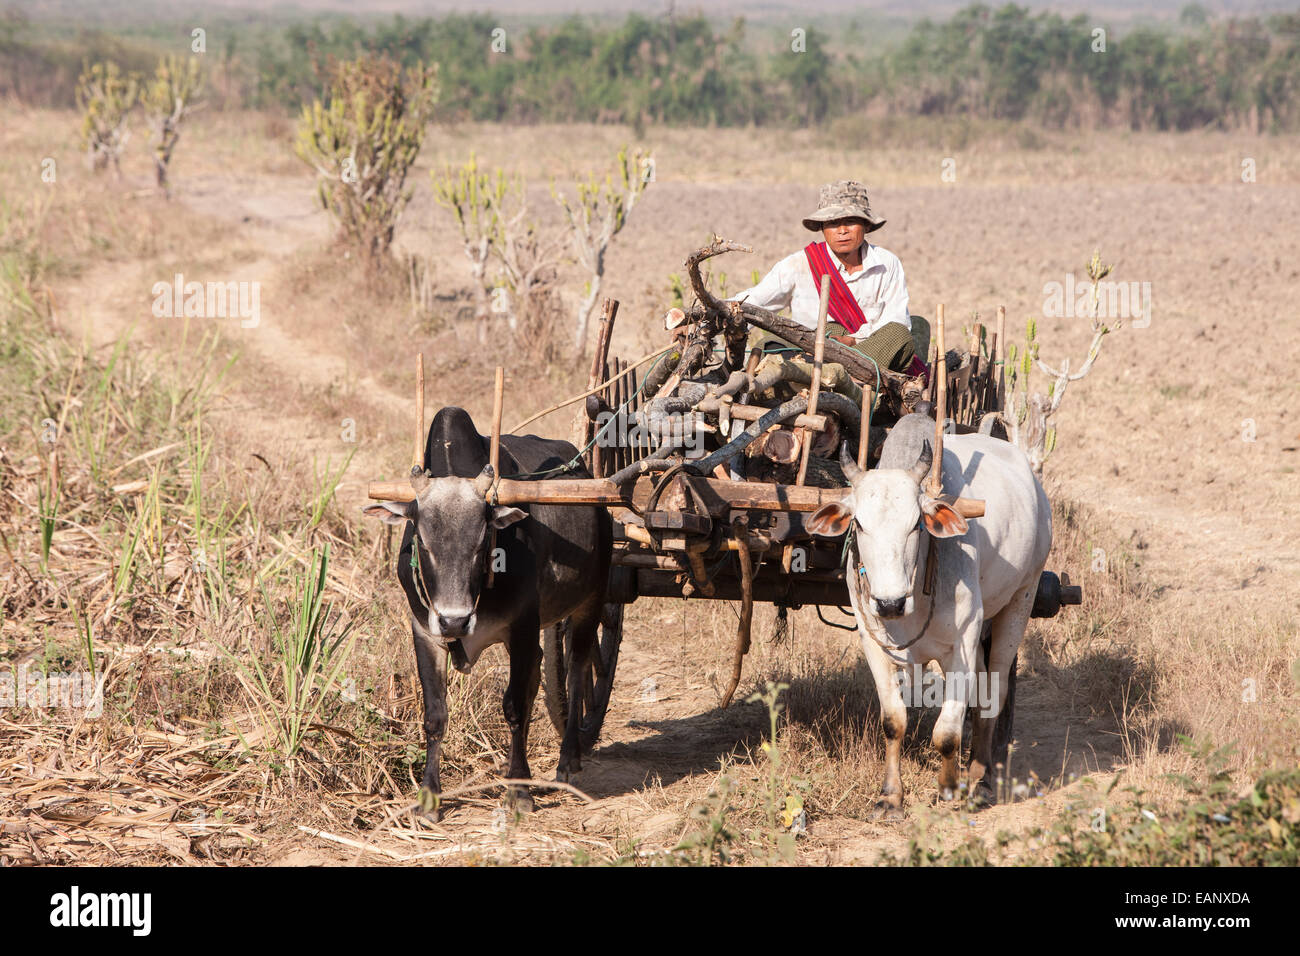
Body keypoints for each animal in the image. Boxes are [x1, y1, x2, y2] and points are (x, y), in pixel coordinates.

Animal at [364, 407, 611, 818]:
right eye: (423, 543)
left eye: (483, 542)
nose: (455, 620)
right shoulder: (424, 630)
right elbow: (435, 714)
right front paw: (429, 796)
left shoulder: (523, 624)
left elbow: (514, 706)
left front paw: (519, 791)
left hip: (590, 602)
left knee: (577, 675)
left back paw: (568, 760)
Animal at [806, 414, 1052, 816]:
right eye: (859, 524)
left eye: (916, 525)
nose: (889, 603)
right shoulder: (872, 643)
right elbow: (893, 721)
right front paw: (890, 797)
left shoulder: (962, 642)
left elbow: (947, 732)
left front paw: (949, 789)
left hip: (1021, 598)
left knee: (994, 692)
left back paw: (982, 780)